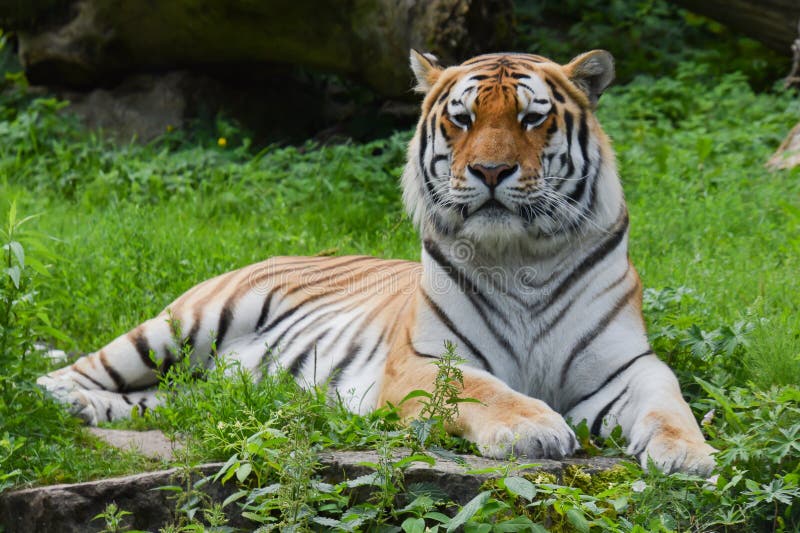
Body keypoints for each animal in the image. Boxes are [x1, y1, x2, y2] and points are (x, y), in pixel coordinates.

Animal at [38, 49, 716, 475]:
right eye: (462, 119)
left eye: (532, 118)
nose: (490, 171)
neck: (521, 255)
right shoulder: (425, 363)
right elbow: (484, 390)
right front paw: (537, 429)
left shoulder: (627, 365)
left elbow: (669, 405)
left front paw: (691, 456)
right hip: (179, 326)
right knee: (74, 371)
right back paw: (60, 399)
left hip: (192, 386)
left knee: (161, 399)